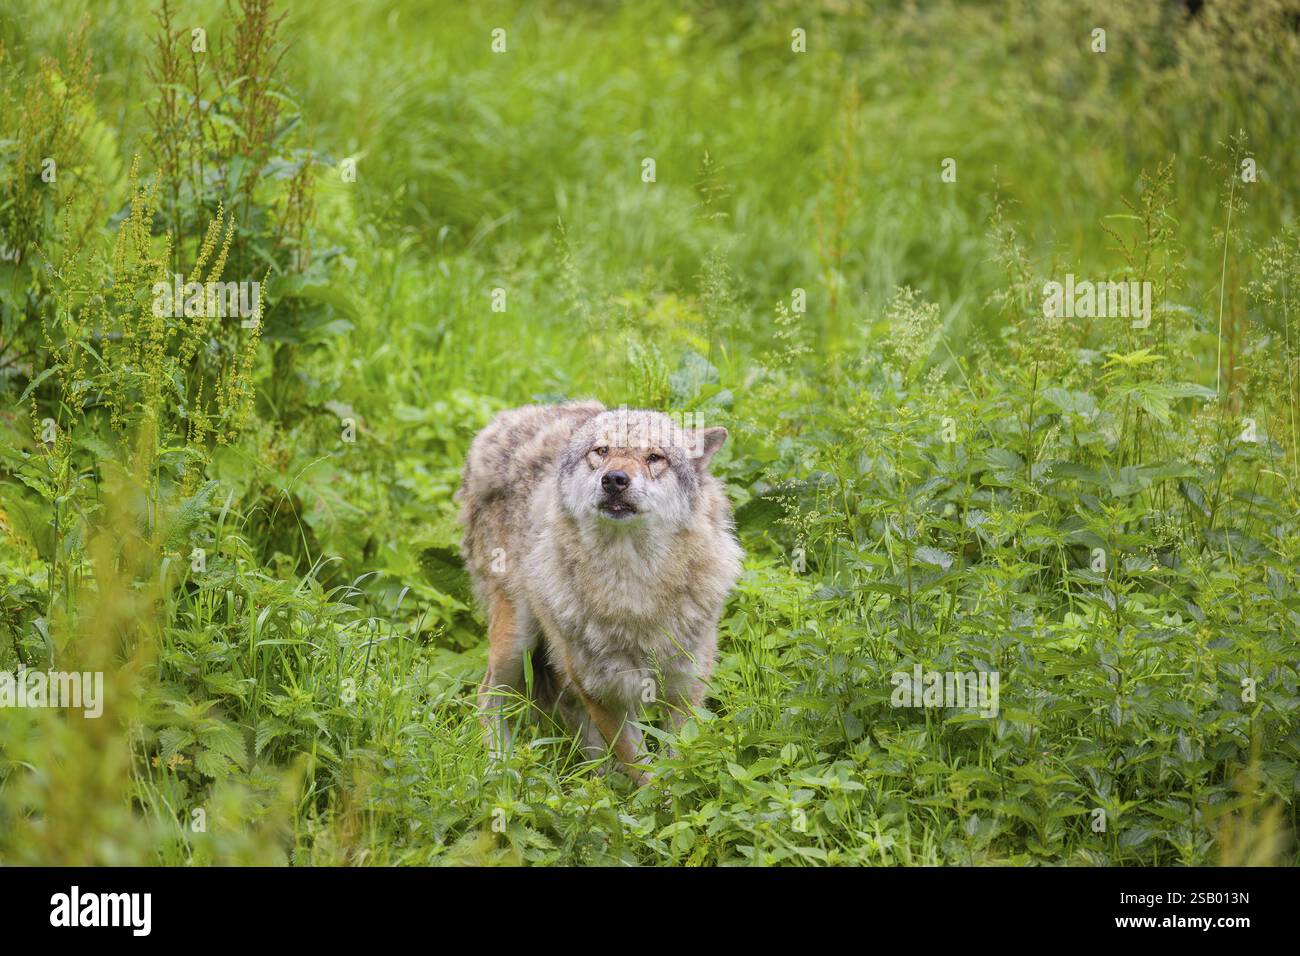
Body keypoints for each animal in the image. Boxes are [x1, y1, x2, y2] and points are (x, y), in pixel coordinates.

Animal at [456, 401, 743, 785]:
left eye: (655, 457)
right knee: (487, 694)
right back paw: (501, 769)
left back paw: (599, 779)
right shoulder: (604, 693)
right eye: (601, 452)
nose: (615, 479)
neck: (633, 588)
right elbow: (643, 769)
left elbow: (675, 762)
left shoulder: (685, 690)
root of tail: (503, 422)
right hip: (517, 642)